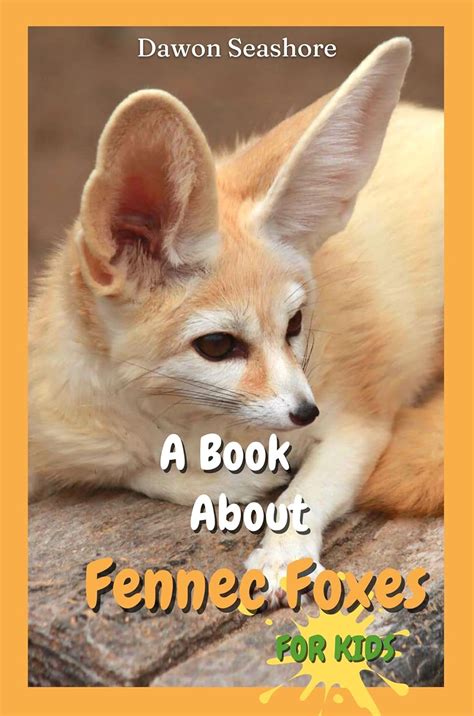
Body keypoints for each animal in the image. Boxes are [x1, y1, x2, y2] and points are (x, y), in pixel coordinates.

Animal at [29, 38, 443, 605]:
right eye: (218, 346)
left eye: (295, 324)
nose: (305, 413)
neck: (190, 420)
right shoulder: (63, 445)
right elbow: (143, 470)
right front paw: (230, 482)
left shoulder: (358, 420)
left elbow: (306, 494)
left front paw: (283, 555)